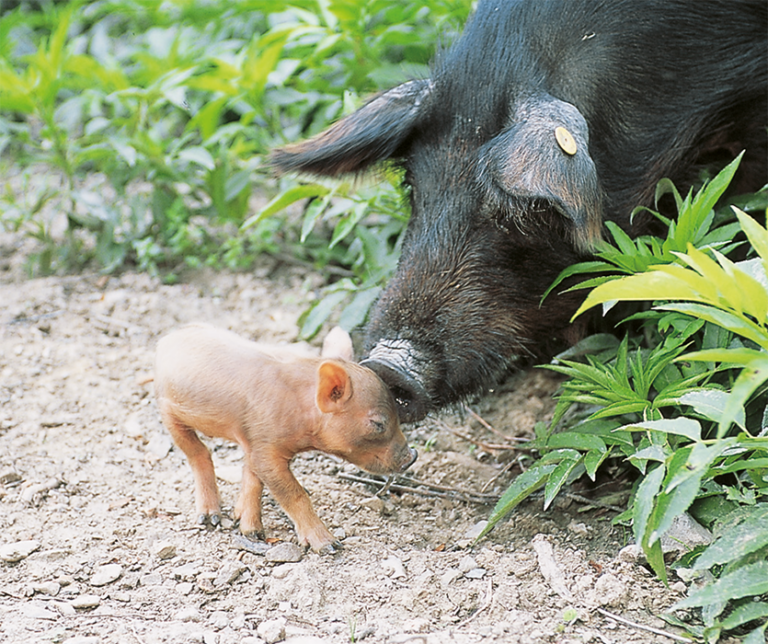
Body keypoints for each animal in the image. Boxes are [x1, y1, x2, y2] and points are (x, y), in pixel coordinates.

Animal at [154, 324, 416, 553]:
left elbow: (255, 479)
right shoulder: (266, 447)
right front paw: (330, 547)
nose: (412, 456)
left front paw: (253, 533)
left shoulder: (255, 439)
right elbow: (294, 493)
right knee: (199, 453)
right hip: (167, 409)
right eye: (378, 423)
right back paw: (210, 519)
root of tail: (169, 337)